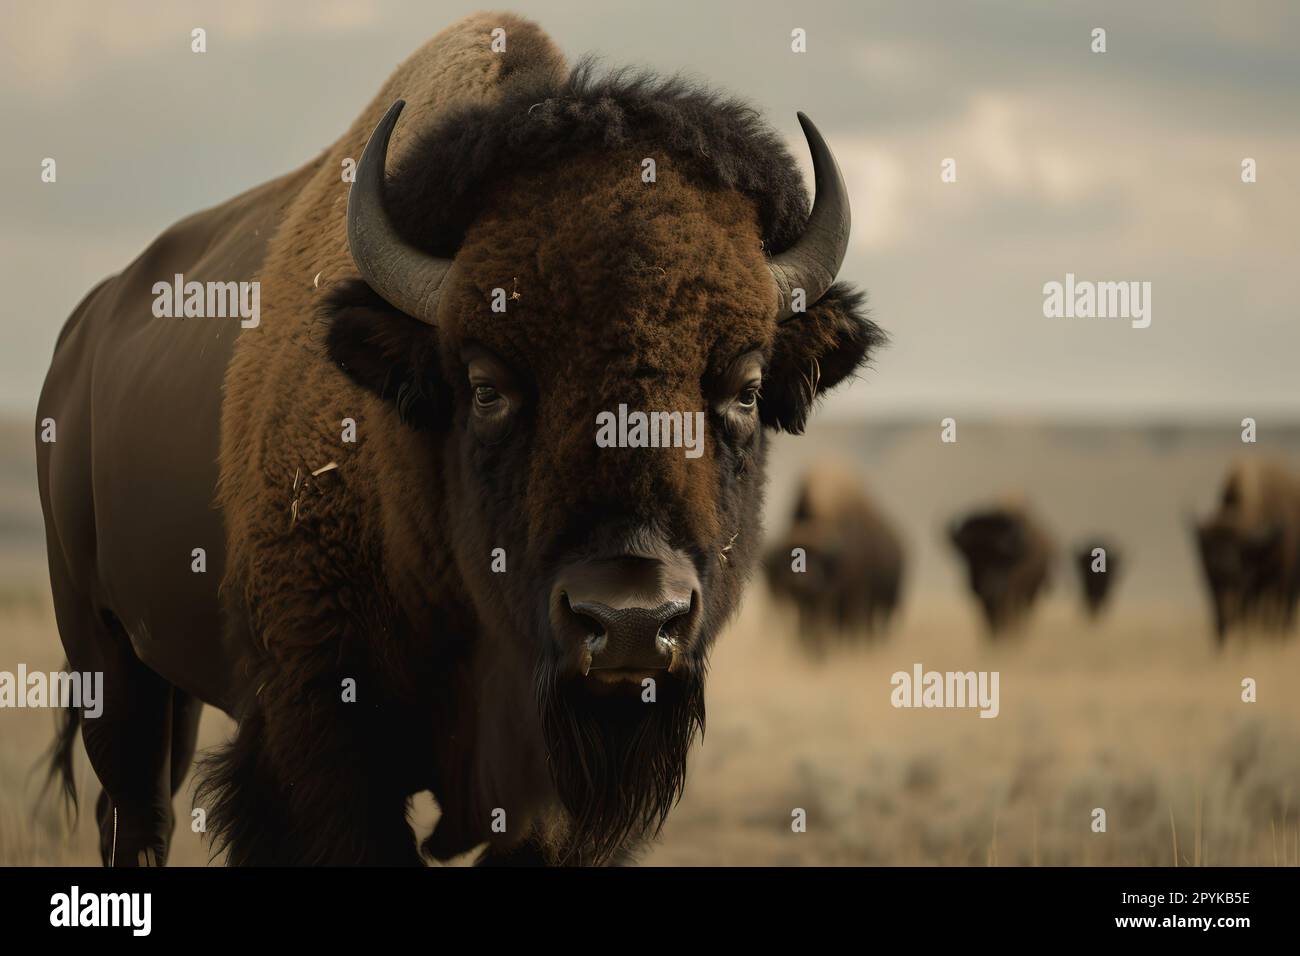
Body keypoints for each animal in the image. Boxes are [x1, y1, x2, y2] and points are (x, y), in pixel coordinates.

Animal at [36, 14, 883, 865]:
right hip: (104, 657)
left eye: (745, 390)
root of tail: (78, 340)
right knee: (138, 808)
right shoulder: (318, 745)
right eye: (484, 387)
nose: (632, 623)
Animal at [764, 461, 904, 647]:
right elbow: (807, 621)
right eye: (791, 556)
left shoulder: (850, 592)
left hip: (889, 598)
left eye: (818, 557)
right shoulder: (809, 600)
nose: (801, 581)